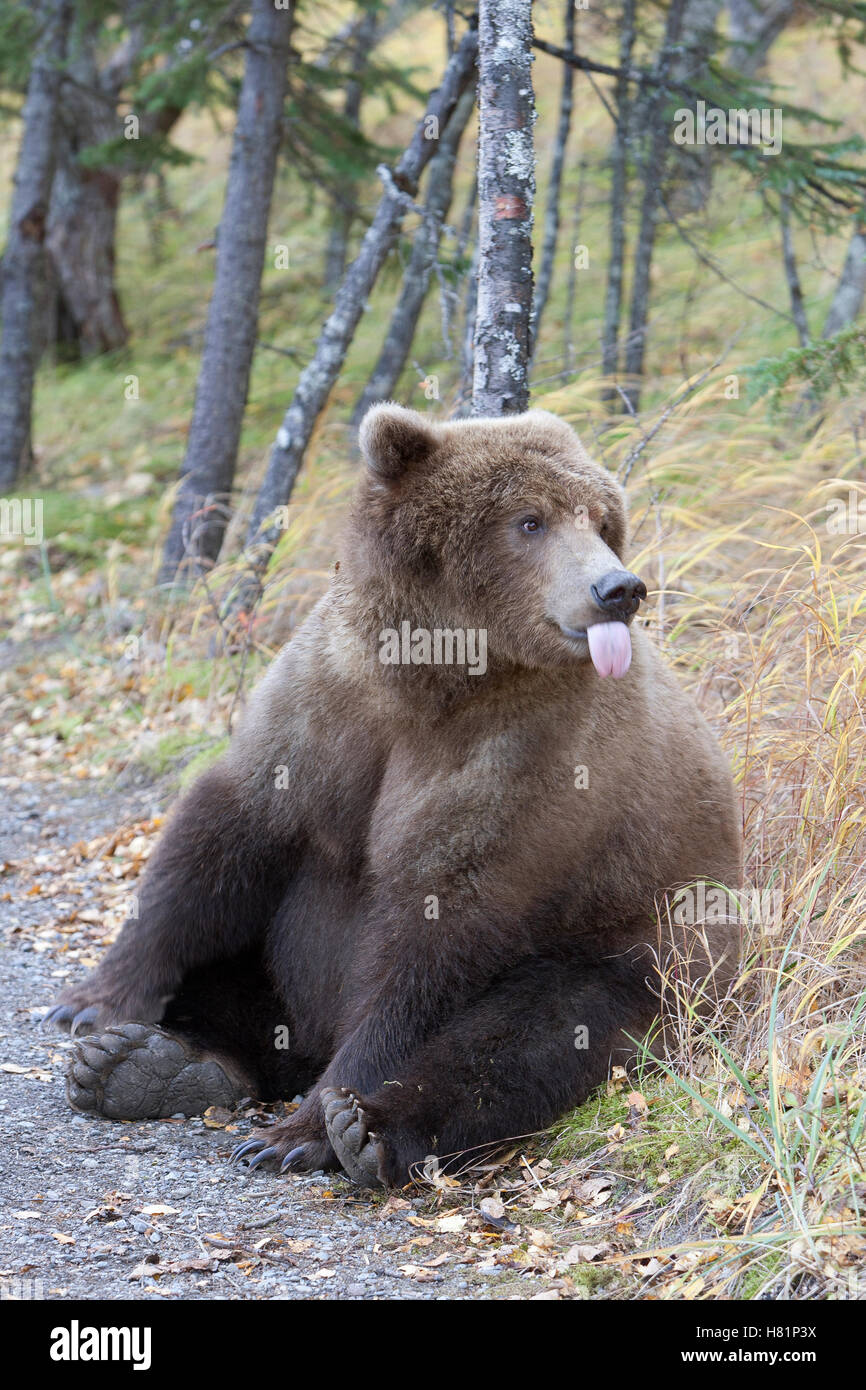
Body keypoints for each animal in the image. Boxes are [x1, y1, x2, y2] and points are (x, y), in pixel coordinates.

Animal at [45, 406, 742, 1188]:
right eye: (530, 521)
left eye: (598, 519)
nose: (618, 588)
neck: (435, 677)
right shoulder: (329, 700)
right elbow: (225, 834)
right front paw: (91, 1006)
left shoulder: (528, 761)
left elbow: (432, 938)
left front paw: (305, 1131)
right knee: (245, 976)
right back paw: (150, 1064)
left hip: (645, 952)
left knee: (533, 1032)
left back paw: (363, 1129)